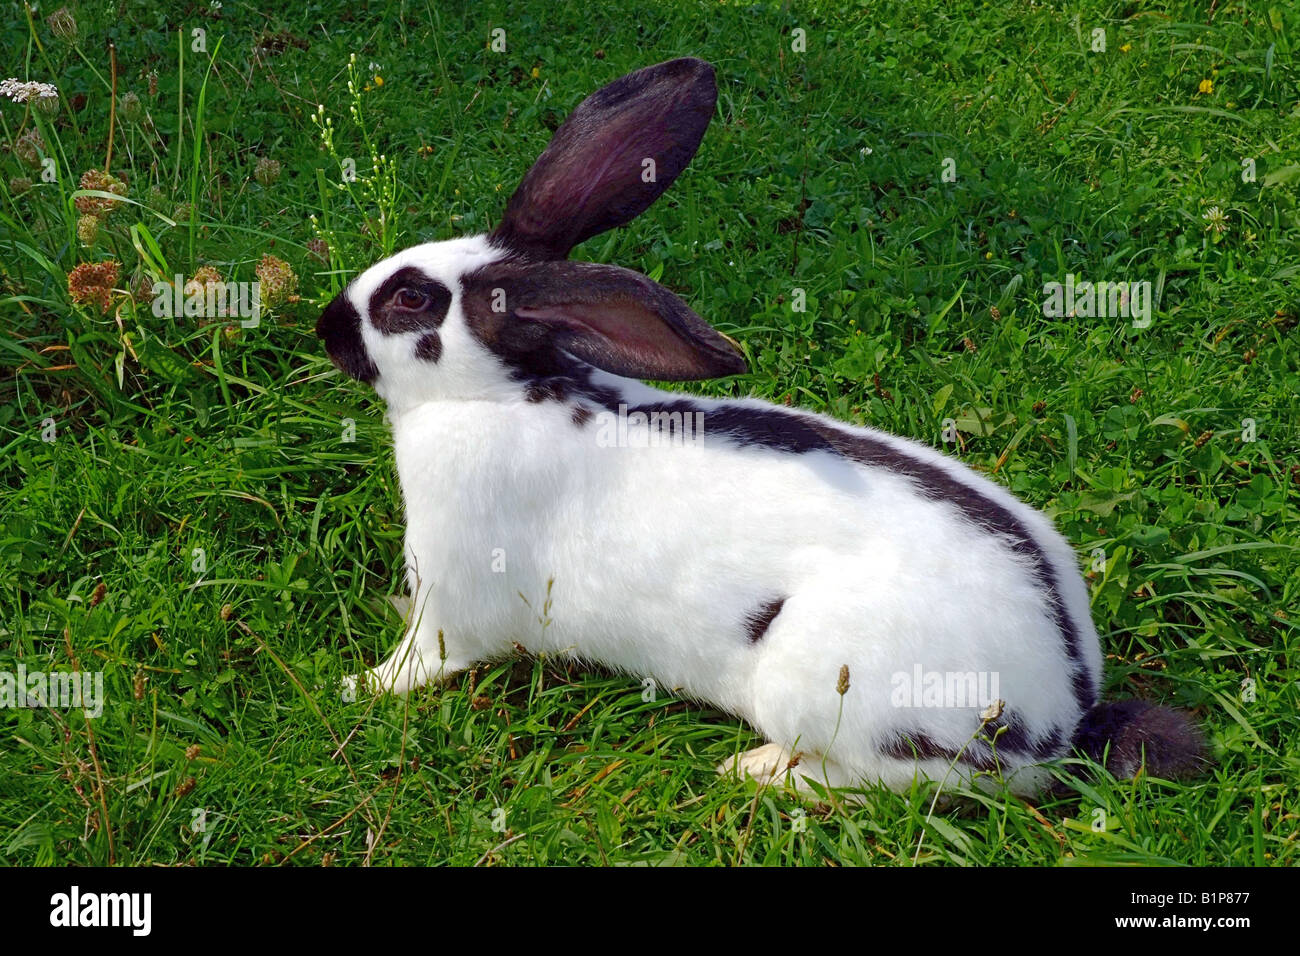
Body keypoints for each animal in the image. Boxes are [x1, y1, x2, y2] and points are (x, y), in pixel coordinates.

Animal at [316, 57, 1204, 796]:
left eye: (410, 300)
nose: (327, 326)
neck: (503, 395)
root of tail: (1064, 719)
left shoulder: (455, 597)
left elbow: (422, 659)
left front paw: (357, 686)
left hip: (834, 694)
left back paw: (757, 769)